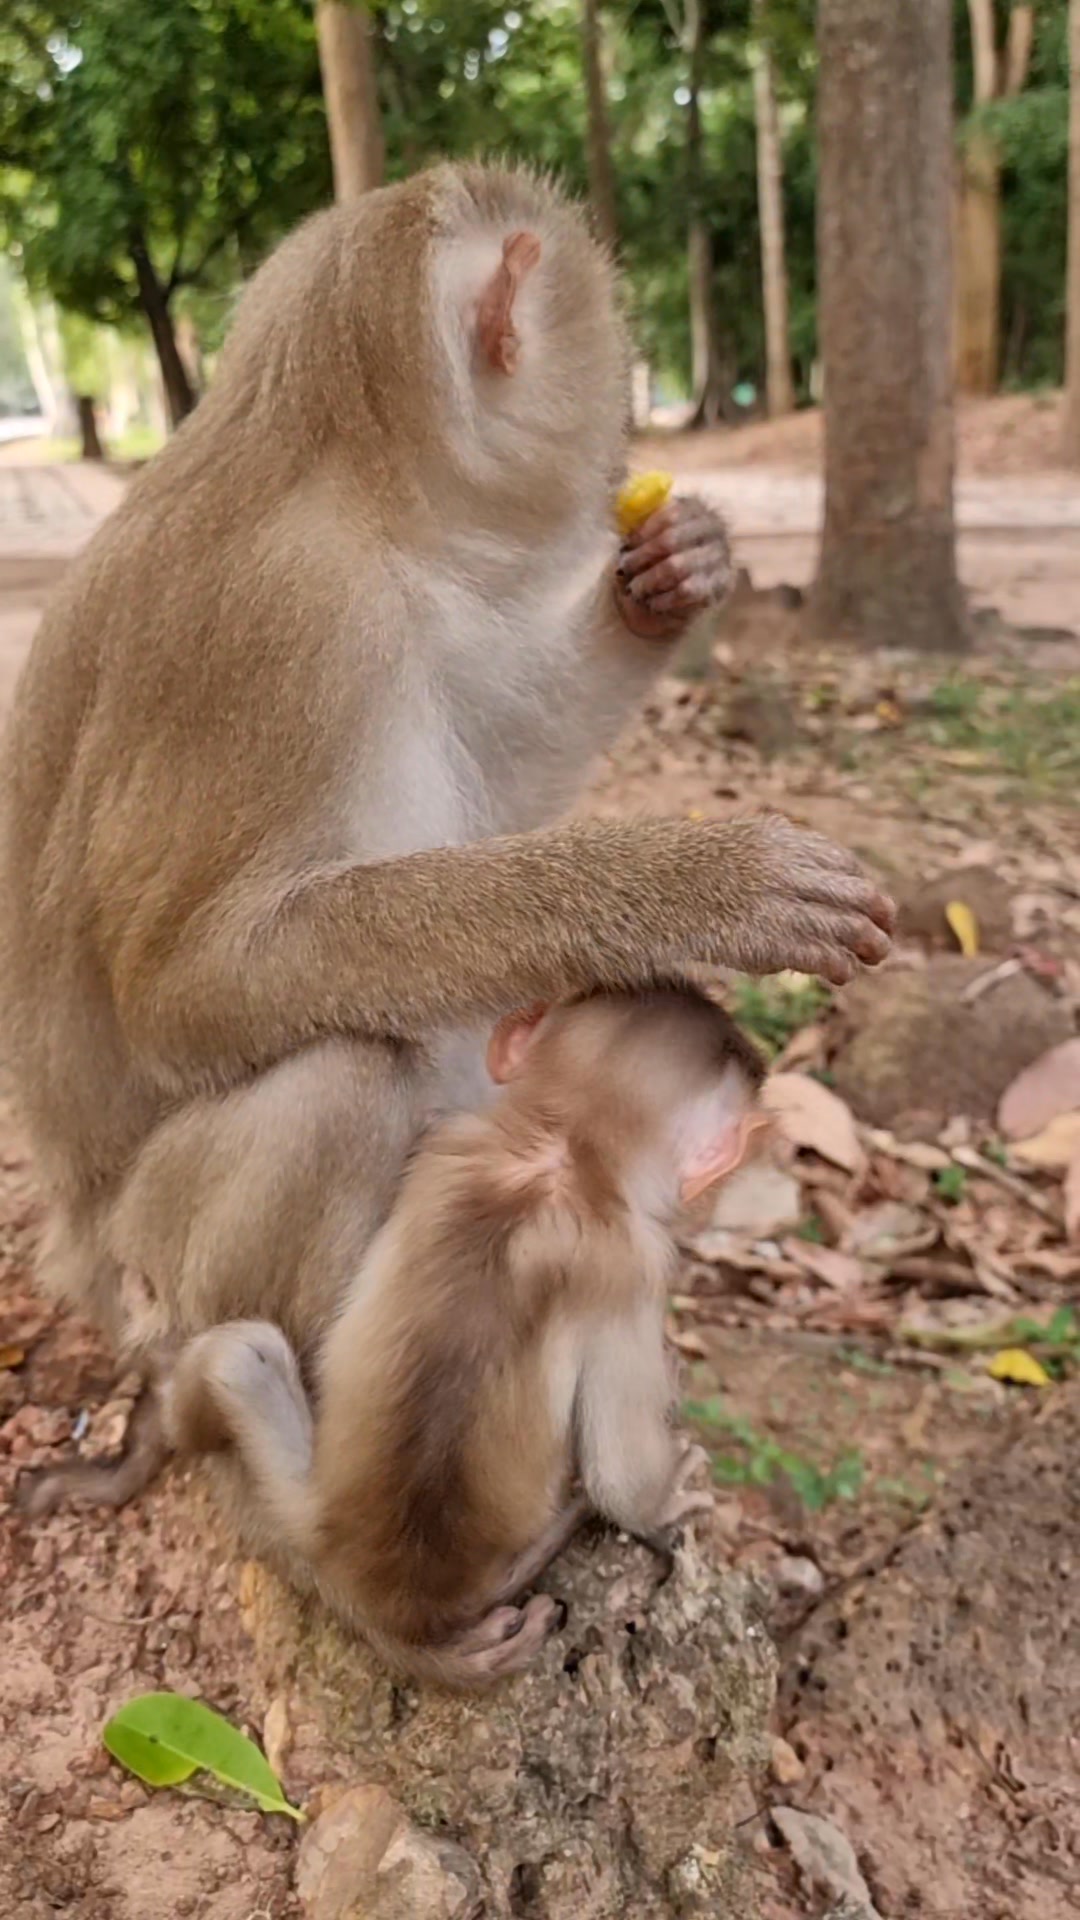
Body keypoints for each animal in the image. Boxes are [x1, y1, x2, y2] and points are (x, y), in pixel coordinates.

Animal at [1, 162, 893, 1521]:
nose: (626, 440)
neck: (313, 463)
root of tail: (80, 1261)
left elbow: (497, 777)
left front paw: (672, 578)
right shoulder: (299, 623)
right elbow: (185, 985)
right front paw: (702, 883)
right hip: (158, 1267)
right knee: (341, 1084)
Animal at [163, 984, 768, 1686]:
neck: (566, 1152)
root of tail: (391, 1597)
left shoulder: (454, 1133)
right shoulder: (641, 1265)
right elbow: (618, 1478)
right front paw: (664, 1498)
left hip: (305, 1510)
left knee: (240, 1354)